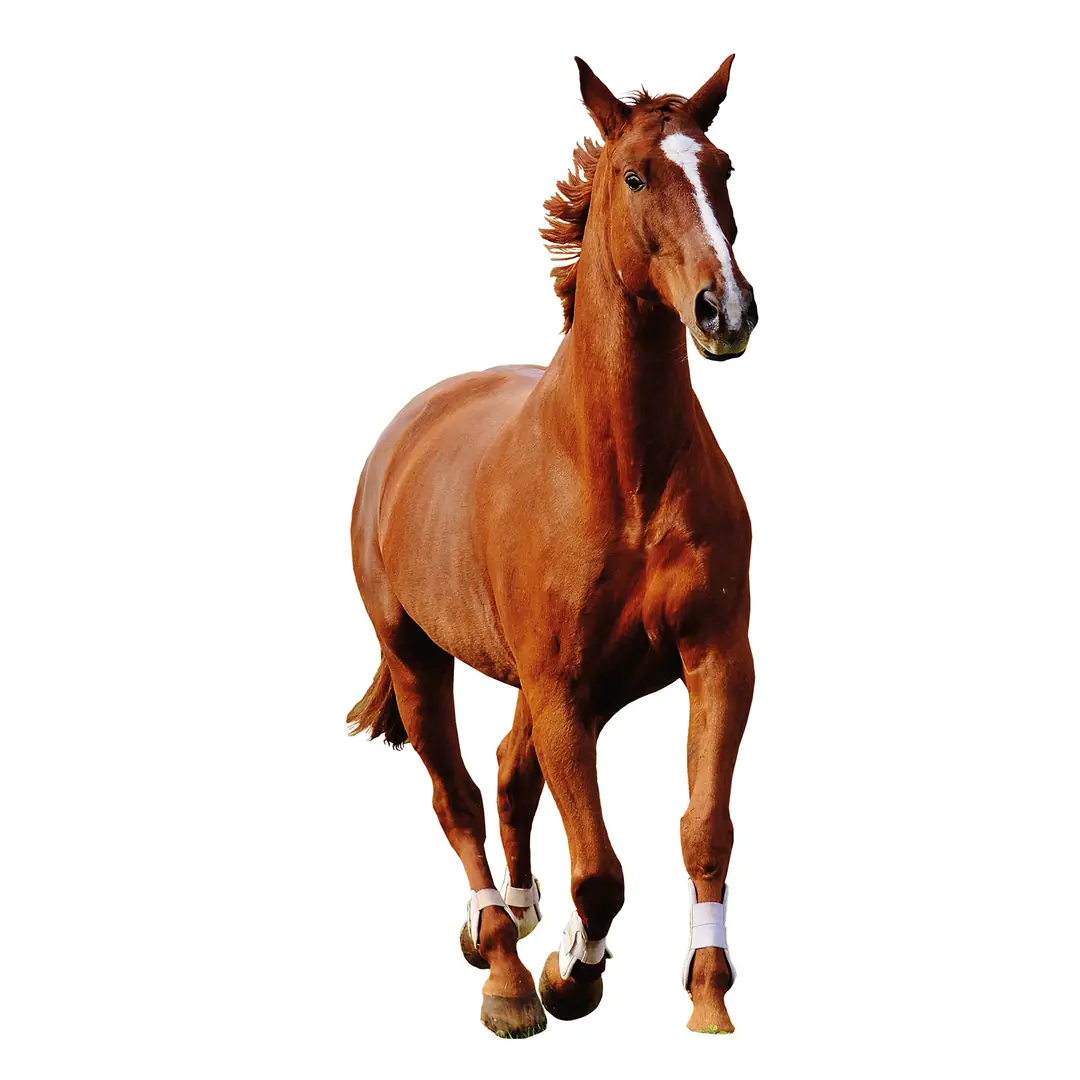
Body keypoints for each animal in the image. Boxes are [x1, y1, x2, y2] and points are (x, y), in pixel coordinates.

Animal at [348, 55, 757, 1038]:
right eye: (636, 175)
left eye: (723, 167)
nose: (724, 310)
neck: (623, 473)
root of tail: (401, 436)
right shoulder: (562, 685)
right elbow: (601, 871)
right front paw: (571, 976)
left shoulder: (716, 658)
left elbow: (705, 828)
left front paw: (709, 992)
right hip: (419, 656)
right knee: (458, 795)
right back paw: (502, 961)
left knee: (507, 775)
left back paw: (522, 916)